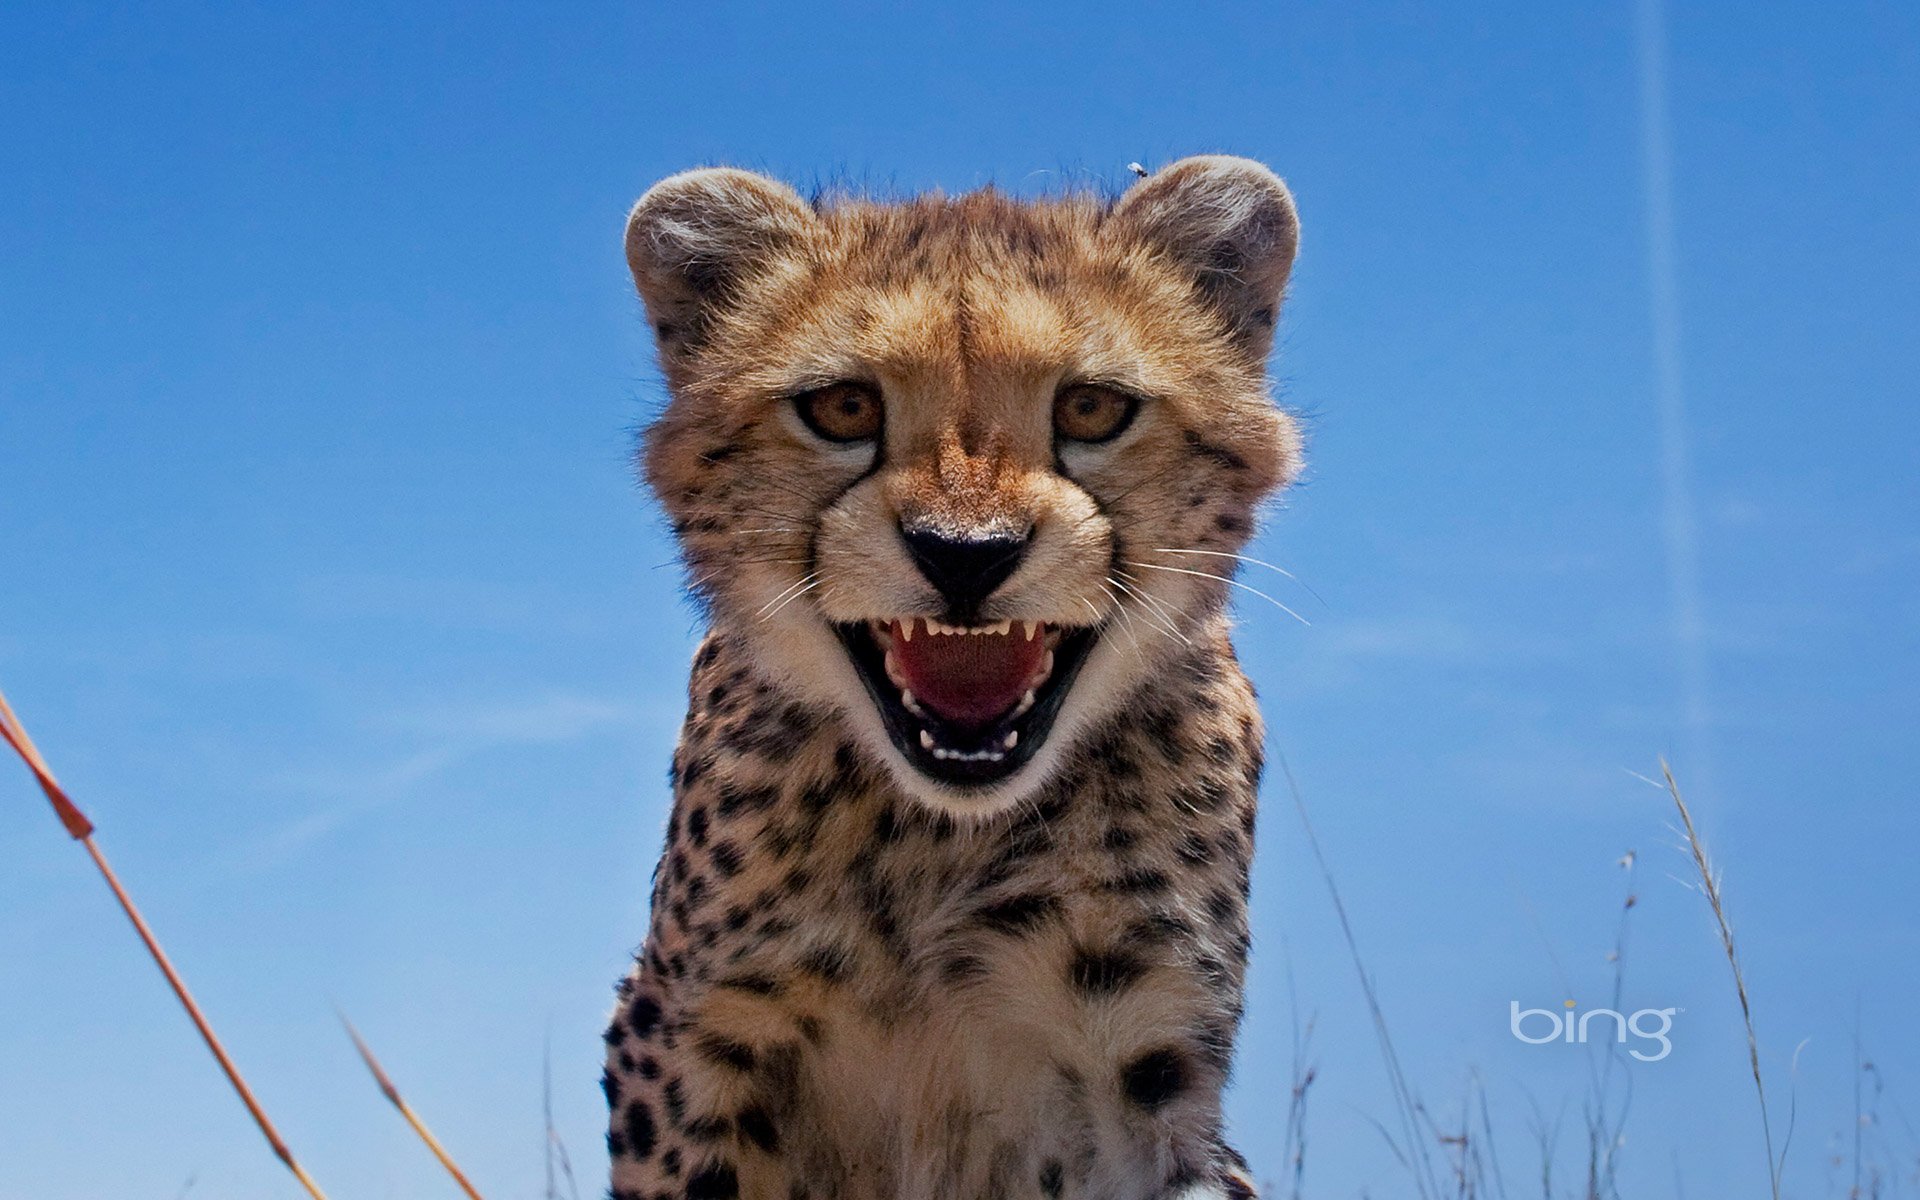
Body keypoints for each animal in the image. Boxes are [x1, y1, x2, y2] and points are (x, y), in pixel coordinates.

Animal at [604, 155, 1303, 1200]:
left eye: (1091, 409)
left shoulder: (1151, 1059)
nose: (965, 554)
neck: (941, 834)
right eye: (843, 408)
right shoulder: (688, 1032)